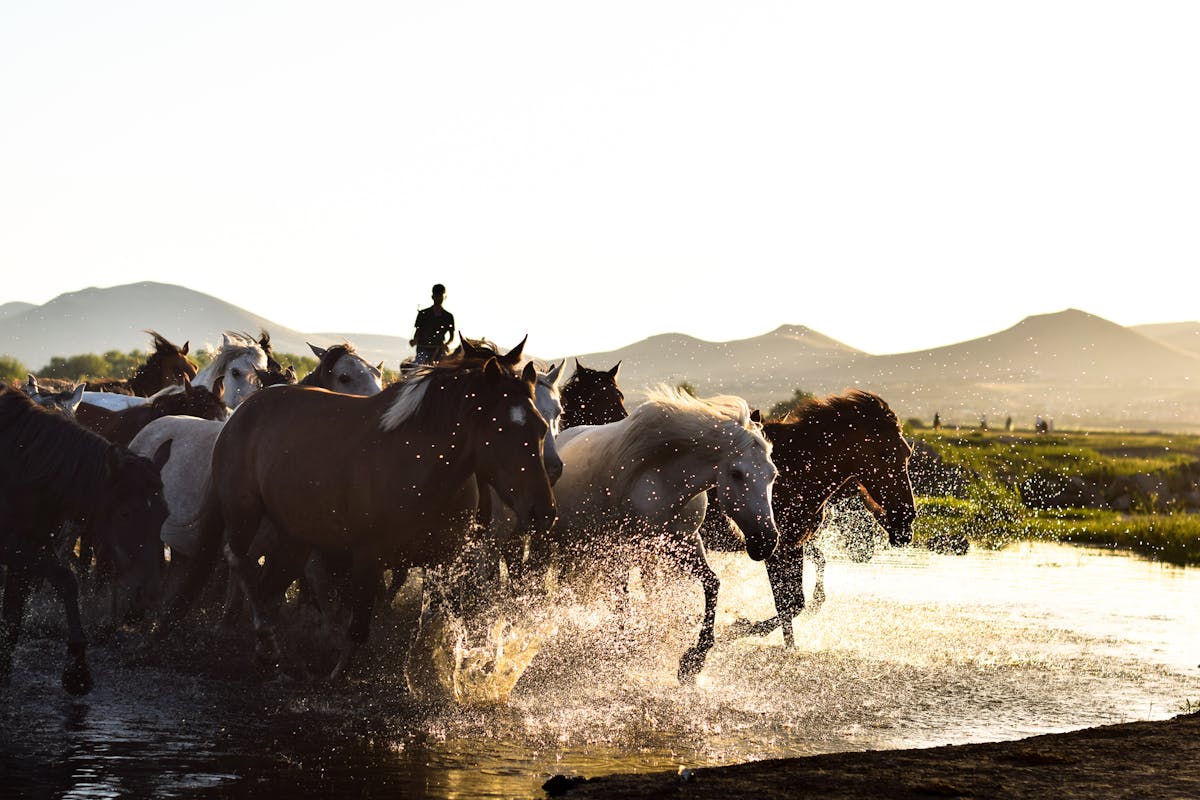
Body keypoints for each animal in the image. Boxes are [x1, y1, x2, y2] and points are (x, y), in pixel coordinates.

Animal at [0, 387, 170, 694]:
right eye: (125, 513)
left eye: (165, 513)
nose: (147, 596)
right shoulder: (14, 548)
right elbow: (67, 579)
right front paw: (78, 669)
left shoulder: (26, 552)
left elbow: (13, 617)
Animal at [162, 355, 556, 682]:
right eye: (501, 429)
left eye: (540, 427)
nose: (544, 511)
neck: (421, 466)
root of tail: (242, 412)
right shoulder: (369, 557)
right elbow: (359, 627)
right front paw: (337, 677)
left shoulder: (444, 561)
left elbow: (447, 627)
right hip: (244, 511)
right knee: (238, 560)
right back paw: (264, 637)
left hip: (296, 538)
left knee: (269, 585)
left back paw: (267, 651)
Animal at [535, 386, 778, 683]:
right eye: (736, 473)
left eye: (772, 474)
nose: (766, 542)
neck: (662, 485)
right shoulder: (622, 550)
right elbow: (622, 602)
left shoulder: (686, 542)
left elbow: (712, 583)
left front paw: (693, 661)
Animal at [717, 390, 916, 647]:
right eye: (883, 454)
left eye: (908, 454)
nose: (906, 520)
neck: (798, 470)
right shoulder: (774, 548)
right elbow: (787, 604)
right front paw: (736, 629)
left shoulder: (792, 544)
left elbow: (794, 603)